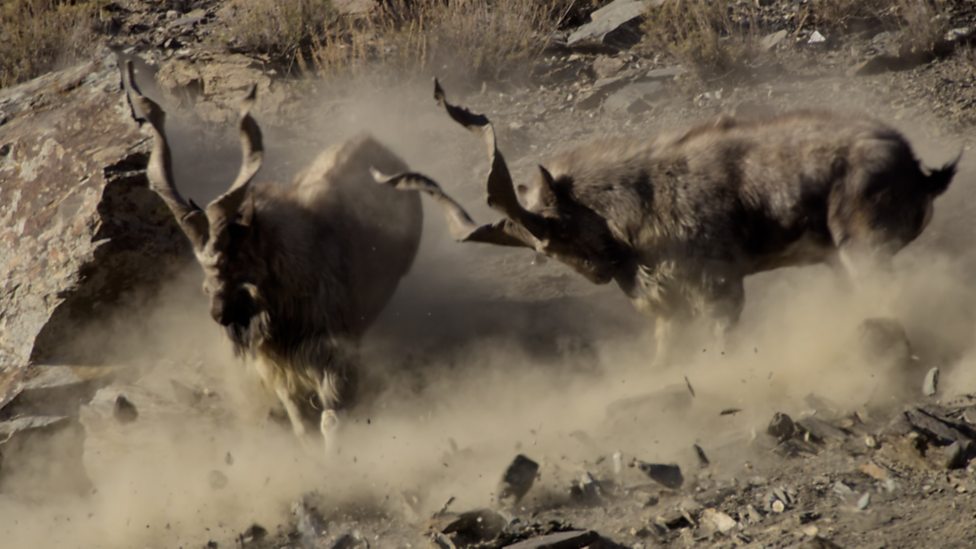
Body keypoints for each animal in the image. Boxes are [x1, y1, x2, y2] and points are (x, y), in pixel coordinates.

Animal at [122, 62, 423, 452]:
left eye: (235, 258)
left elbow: (330, 420)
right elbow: (300, 424)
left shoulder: (331, 357)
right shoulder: (279, 369)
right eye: (203, 268)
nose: (219, 314)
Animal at [374, 80, 958, 365]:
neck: (645, 196)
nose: (601, 273)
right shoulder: (668, 306)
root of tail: (915, 167)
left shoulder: (717, 286)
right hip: (841, 260)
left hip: (863, 250)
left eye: (559, 229)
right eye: (544, 251)